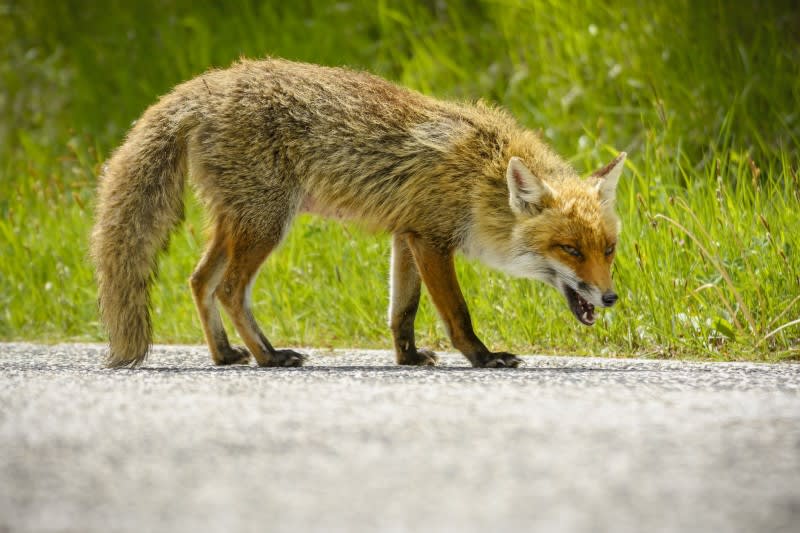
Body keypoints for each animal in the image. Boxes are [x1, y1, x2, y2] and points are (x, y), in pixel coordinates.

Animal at [90, 57, 626, 369]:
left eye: (608, 250)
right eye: (569, 249)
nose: (610, 297)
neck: (481, 176)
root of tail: (209, 84)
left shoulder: (407, 236)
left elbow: (402, 311)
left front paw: (407, 358)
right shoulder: (433, 240)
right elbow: (457, 311)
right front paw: (482, 356)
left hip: (240, 222)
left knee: (199, 281)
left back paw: (224, 355)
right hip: (266, 224)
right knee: (228, 289)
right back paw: (268, 356)